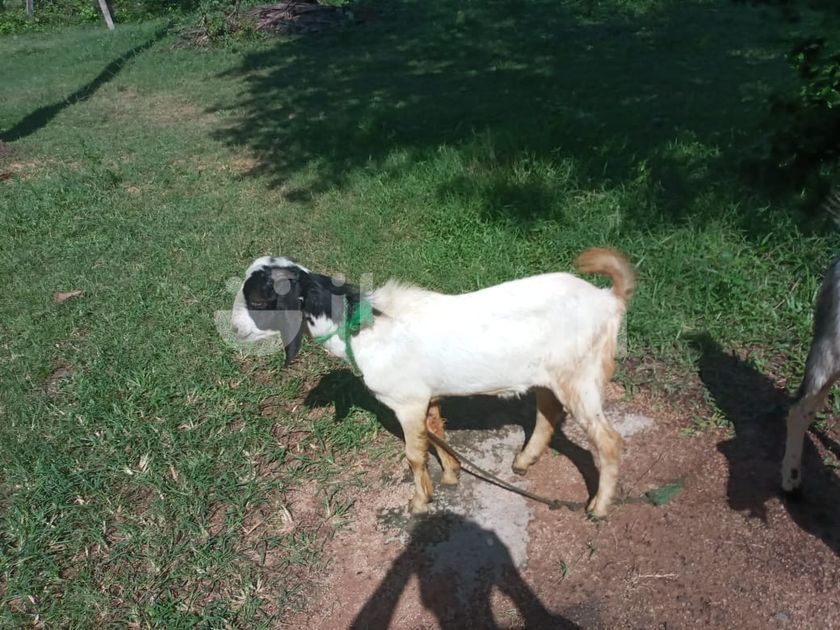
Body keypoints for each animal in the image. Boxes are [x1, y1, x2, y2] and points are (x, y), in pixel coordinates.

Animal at [231, 248, 635, 517]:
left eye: (258, 299)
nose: (234, 329)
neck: (364, 328)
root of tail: (608, 299)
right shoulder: (427, 397)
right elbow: (436, 433)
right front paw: (453, 474)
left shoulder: (407, 401)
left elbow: (414, 453)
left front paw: (419, 501)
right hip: (551, 375)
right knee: (549, 413)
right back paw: (524, 460)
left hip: (580, 375)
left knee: (609, 441)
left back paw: (598, 507)